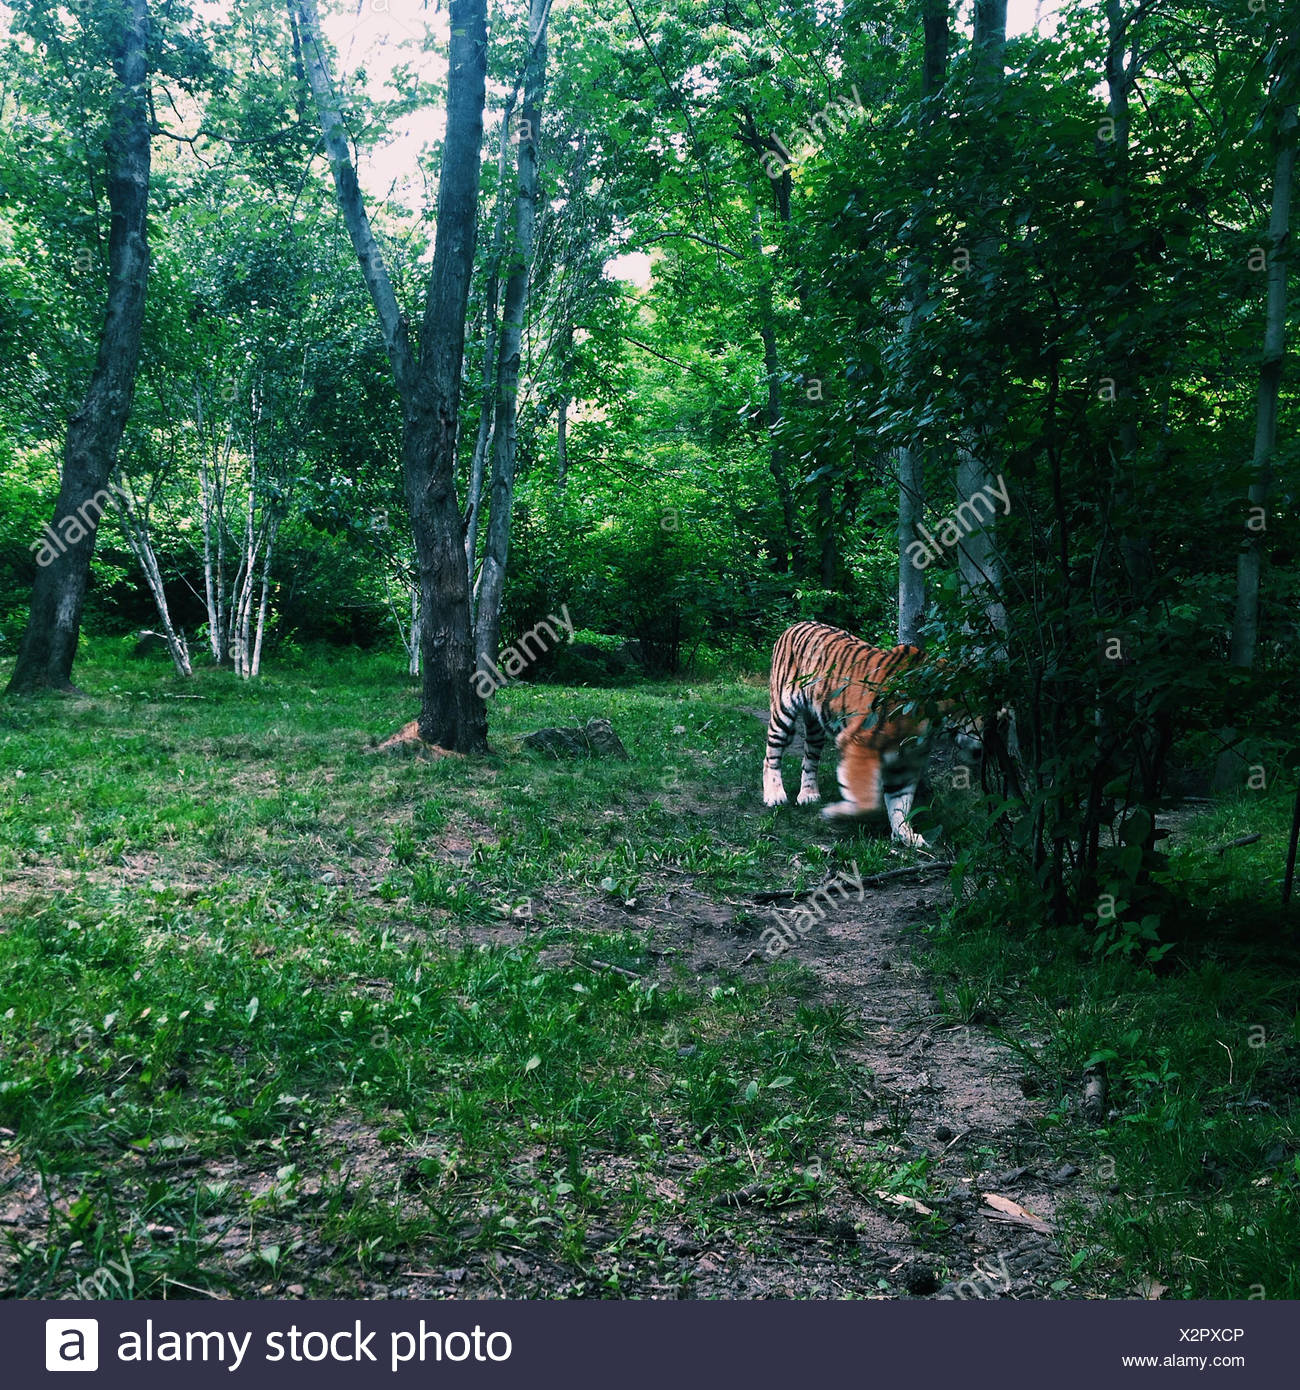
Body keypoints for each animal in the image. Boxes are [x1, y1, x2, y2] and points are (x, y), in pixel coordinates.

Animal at [760, 621, 983, 847]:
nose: (984, 747)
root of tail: (794, 625)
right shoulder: (859, 744)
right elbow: (868, 801)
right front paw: (837, 813)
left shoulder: (905, 763)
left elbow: (900, 804)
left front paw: (906, 835)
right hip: (782, 712)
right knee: (771, 756)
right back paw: (775, 796)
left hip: (815, 727)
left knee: (810, 760)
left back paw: (808, 794)